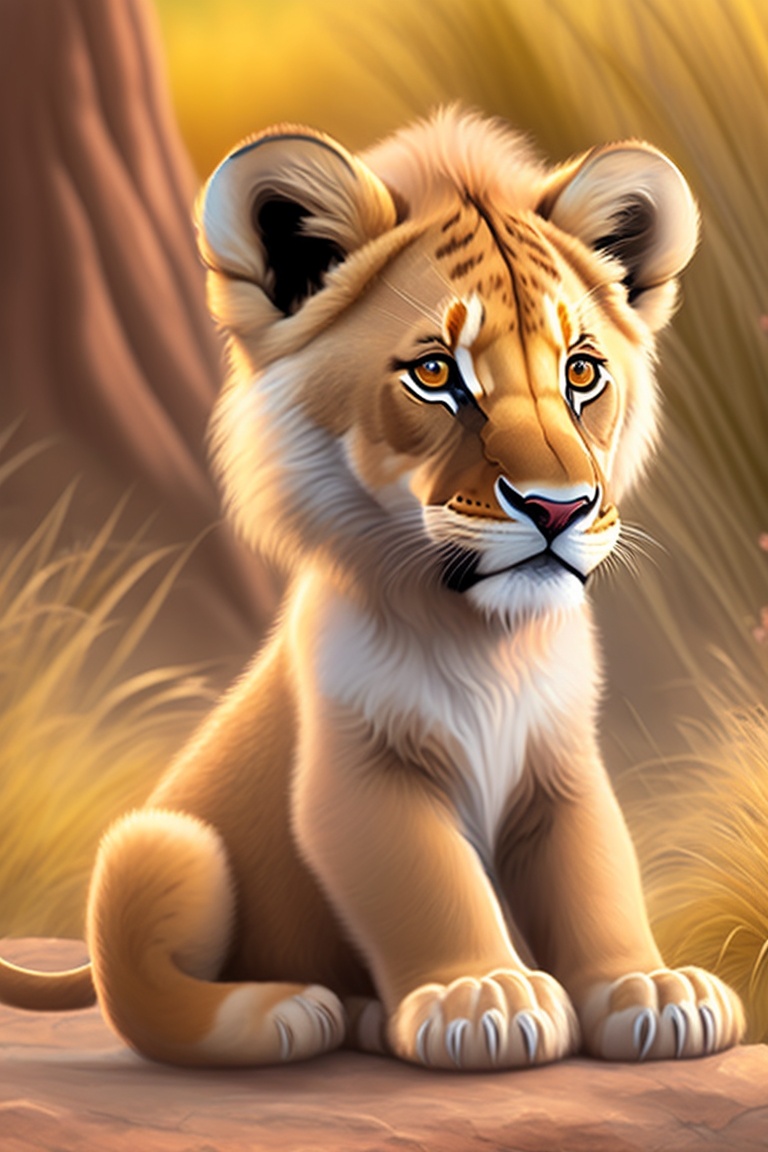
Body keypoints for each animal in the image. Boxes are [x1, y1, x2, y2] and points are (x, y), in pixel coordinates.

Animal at [0, 108, 745, 1070]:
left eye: (582, 373)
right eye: (436, 375)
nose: (559, 507)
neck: (483, 636)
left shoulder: (563, 767)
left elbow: (596, 876)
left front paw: (649, 988)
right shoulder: (358, 769)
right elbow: (426, 880)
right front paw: (485, 997)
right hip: (164, 843)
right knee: (139, 994)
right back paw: (288, 1013)